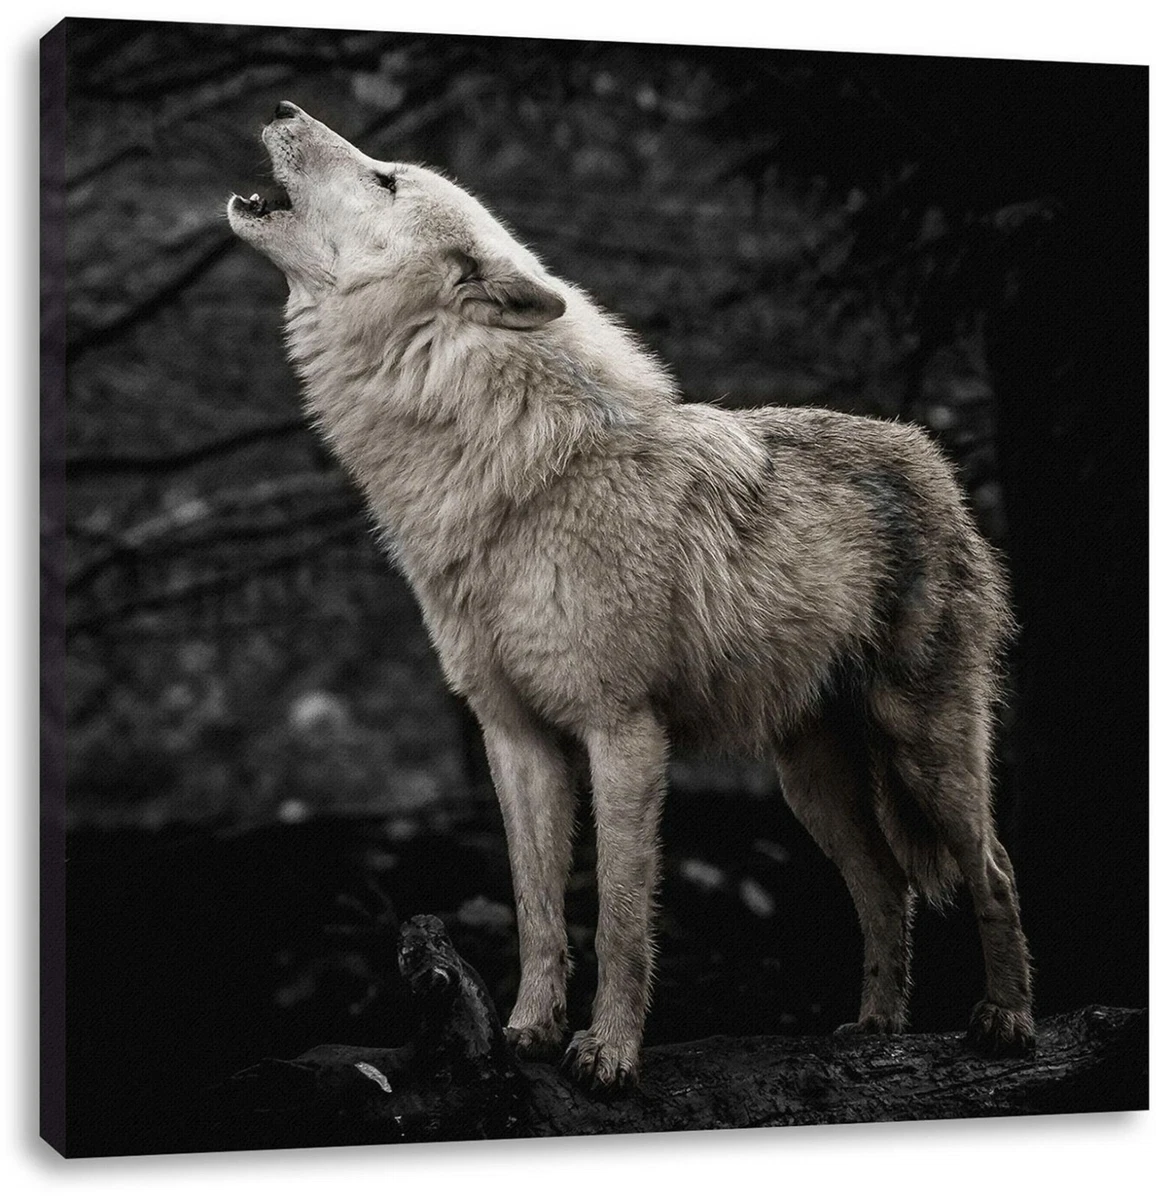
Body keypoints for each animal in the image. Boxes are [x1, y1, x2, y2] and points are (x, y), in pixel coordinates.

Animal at [228, 102, 1034, 1091]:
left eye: (386, 177)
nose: (284, 109)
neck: (509, 472)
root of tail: (926, 455)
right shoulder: (515, 737)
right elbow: (538, 910)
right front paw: (526, 1034)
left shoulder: (622, 732)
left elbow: (617, 914)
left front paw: (608, 1053)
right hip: (809, 782)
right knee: (885, 889)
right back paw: (875, 1027)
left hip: (926, 750)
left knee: (991, 869)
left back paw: (1004, 1020)